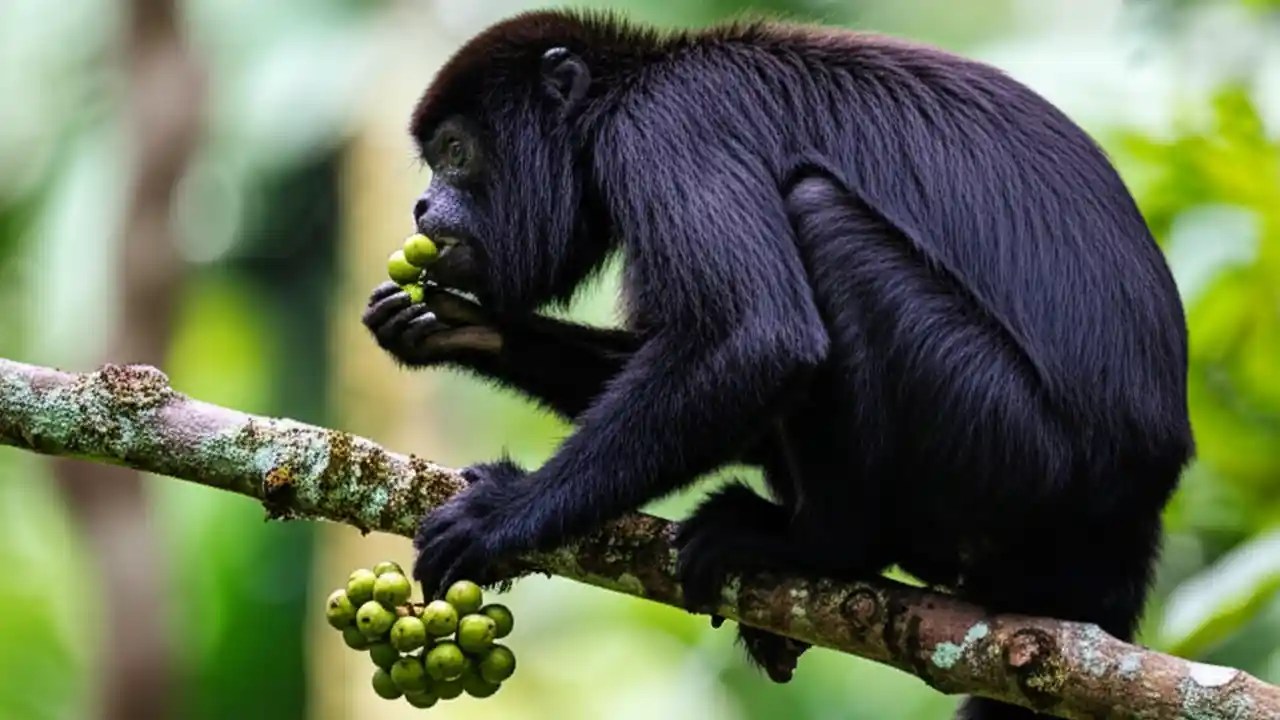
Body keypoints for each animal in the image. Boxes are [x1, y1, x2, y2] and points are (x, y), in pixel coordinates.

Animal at [360, 11, 1193, 718]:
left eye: (455, 153)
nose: (422, 208)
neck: (611, 105)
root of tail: (1134, 519)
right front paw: (460, 329)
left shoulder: (665, 130)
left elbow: (760, 338)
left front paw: (502, 515)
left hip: (1015, 455)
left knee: (821, 219)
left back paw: (818, 547)